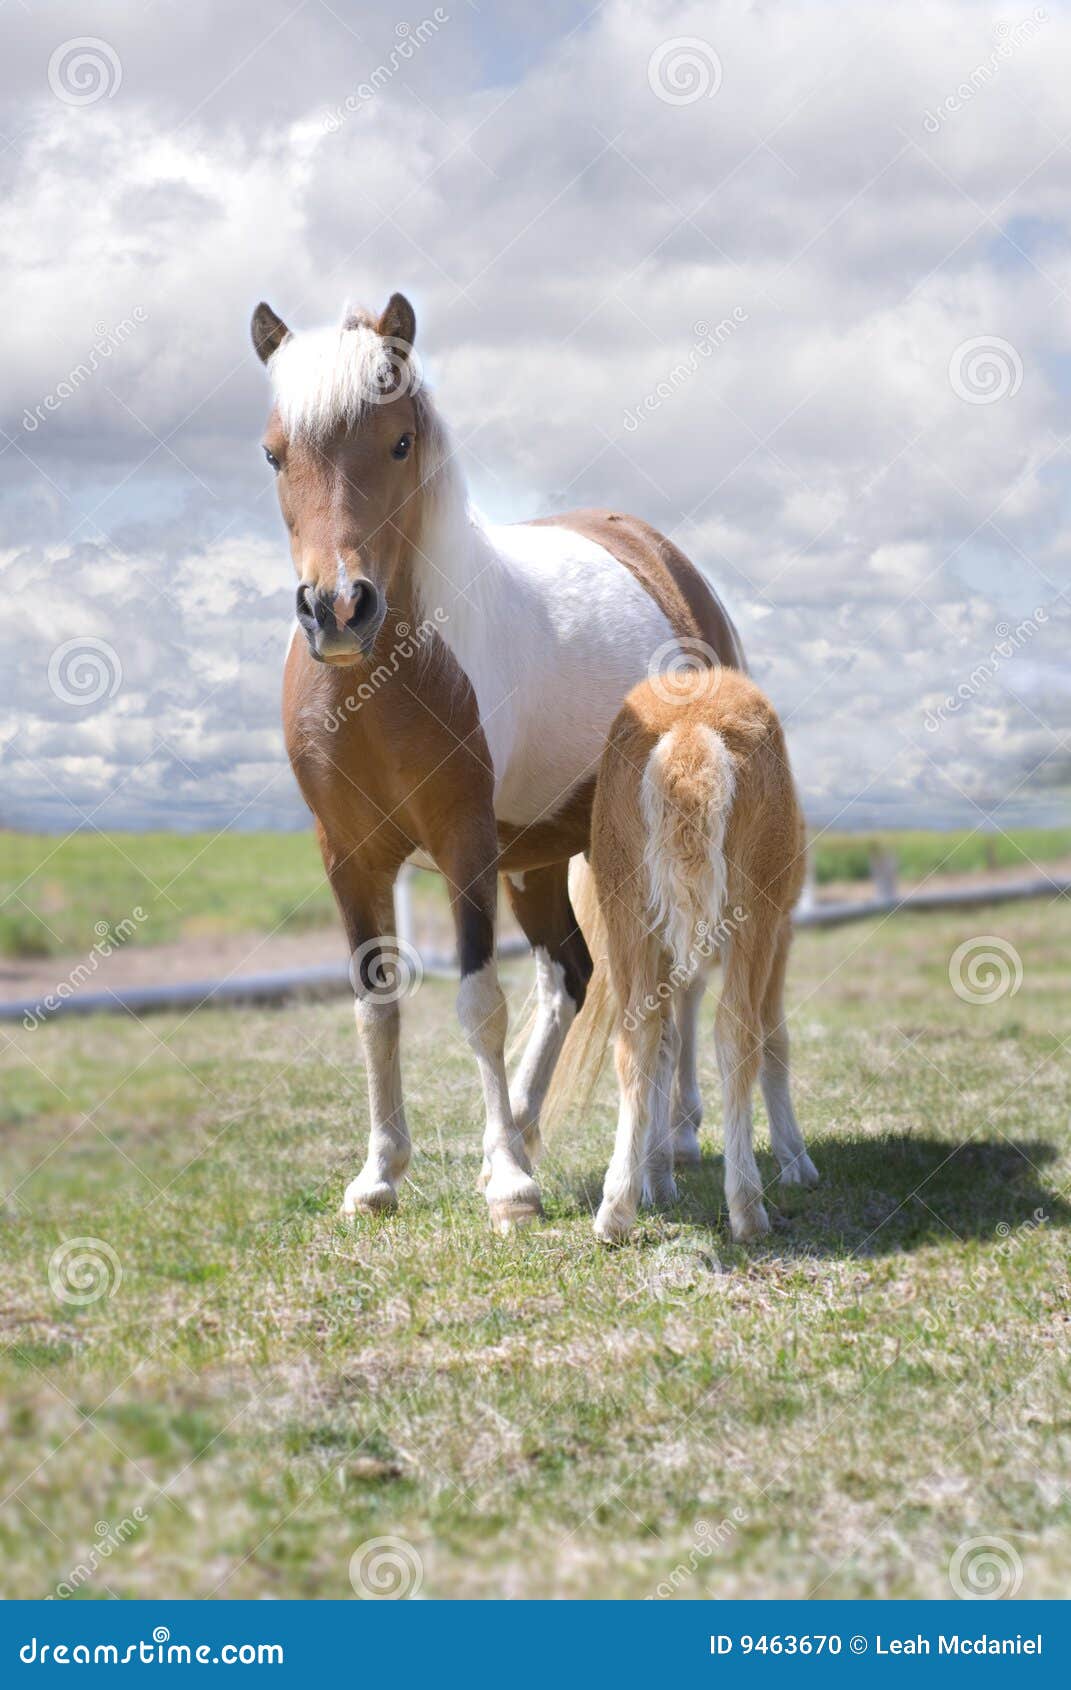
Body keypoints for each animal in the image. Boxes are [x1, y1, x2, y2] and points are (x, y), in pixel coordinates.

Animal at [250, 291, 745, 1229]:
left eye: (400, 441)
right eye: (273, 453)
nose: (338, 610)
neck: (382, 683)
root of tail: (666, 561)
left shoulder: (464, 844)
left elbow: (478, 1002)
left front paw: (513, 1187)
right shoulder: (349, 856)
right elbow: (375, 1006)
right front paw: (381, 1174)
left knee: (682, 976)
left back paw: (670, 1139)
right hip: (540, 855)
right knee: (571, 978)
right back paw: (519, 1124)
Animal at [566, 666, 819, 1245]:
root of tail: (689, 727)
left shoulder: (671, 945)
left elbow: (668, 1038)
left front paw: (659, 1174)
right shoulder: (782, 931)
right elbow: (776, 1039)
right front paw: (797, 1161)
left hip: (627, 906)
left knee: (637, 1035)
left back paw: (615, 1211)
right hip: (754, 911)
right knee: (739, 1032)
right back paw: (748, 1210)